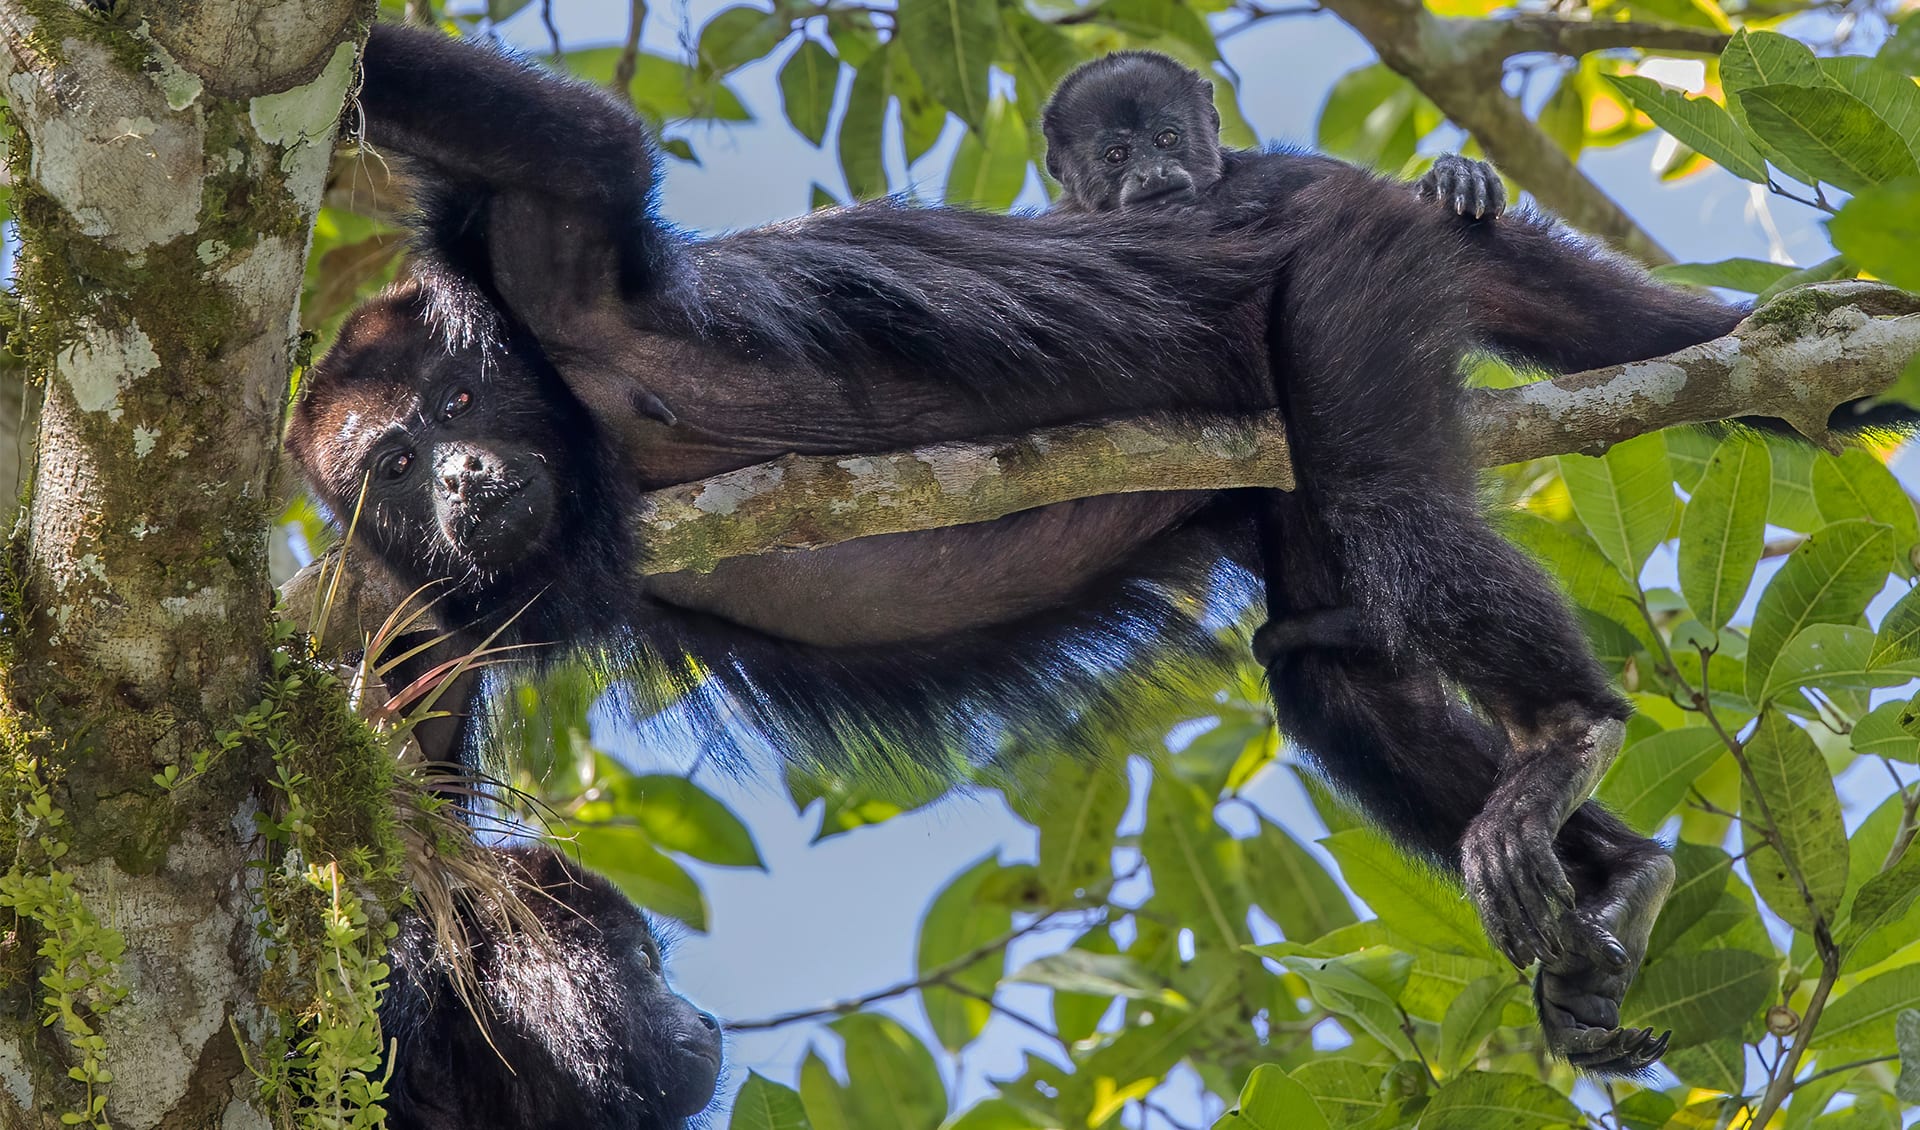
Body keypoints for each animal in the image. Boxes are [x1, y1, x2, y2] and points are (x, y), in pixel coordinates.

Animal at [290, 24, 1822, 1074]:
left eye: (457, 406)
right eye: (392, 467)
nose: (463, 477)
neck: (571, 418)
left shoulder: (553, 280)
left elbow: (579, 144)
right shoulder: (409, 614)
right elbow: (424, 865)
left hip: (1340, 260)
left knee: (1390, 501)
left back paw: (1564, 733)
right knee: (1328, 660)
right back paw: (1617, 878)